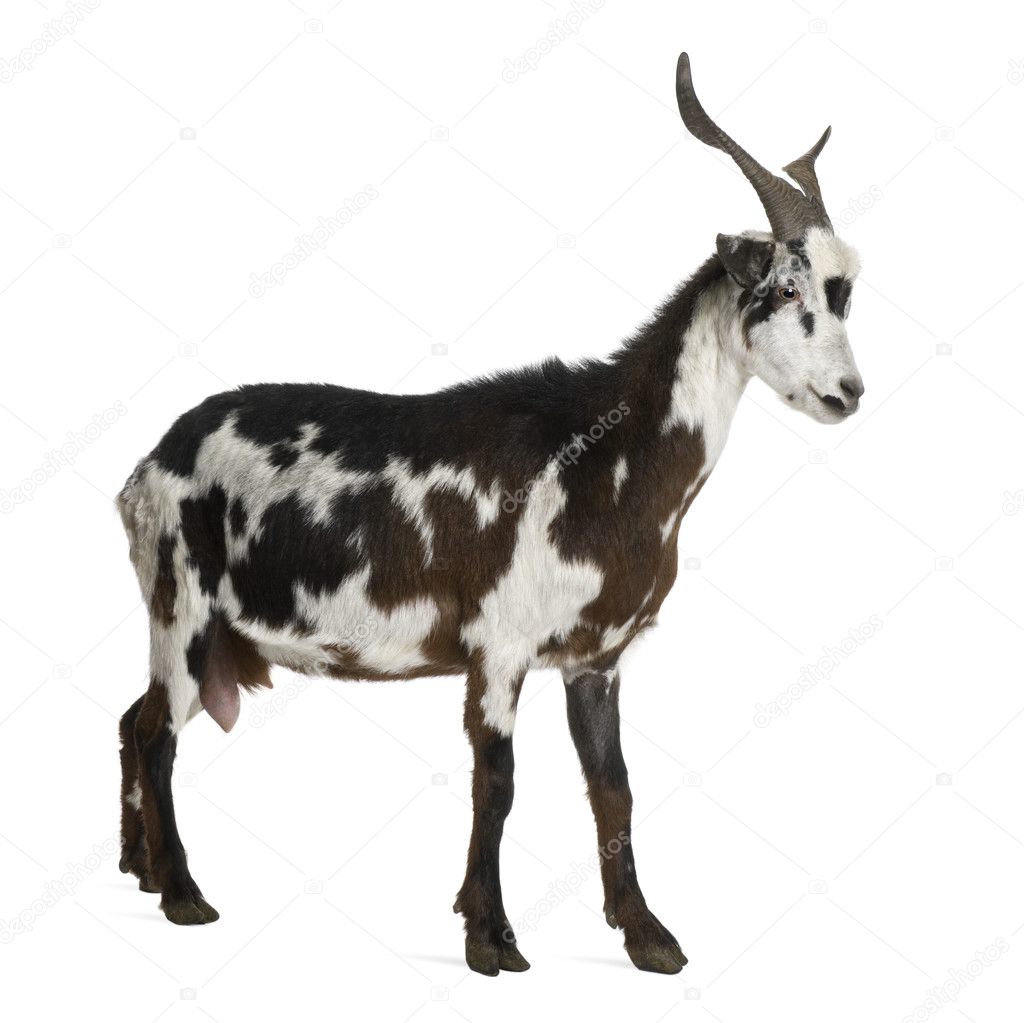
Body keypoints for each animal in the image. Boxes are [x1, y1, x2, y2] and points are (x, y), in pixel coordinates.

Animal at [116, 52, 864, 975]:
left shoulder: (595, 657)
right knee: (157, 732)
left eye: (847, 295)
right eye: (786, 288)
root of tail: (148, 467)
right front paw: (491, 936)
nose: (848, 393)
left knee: (134, 716)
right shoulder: (500, 645)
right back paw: (185, 894)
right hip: (181, 608)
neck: (601, 453)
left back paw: (143, 869)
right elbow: (498, 782)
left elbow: (613, 786)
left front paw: (649, 935)